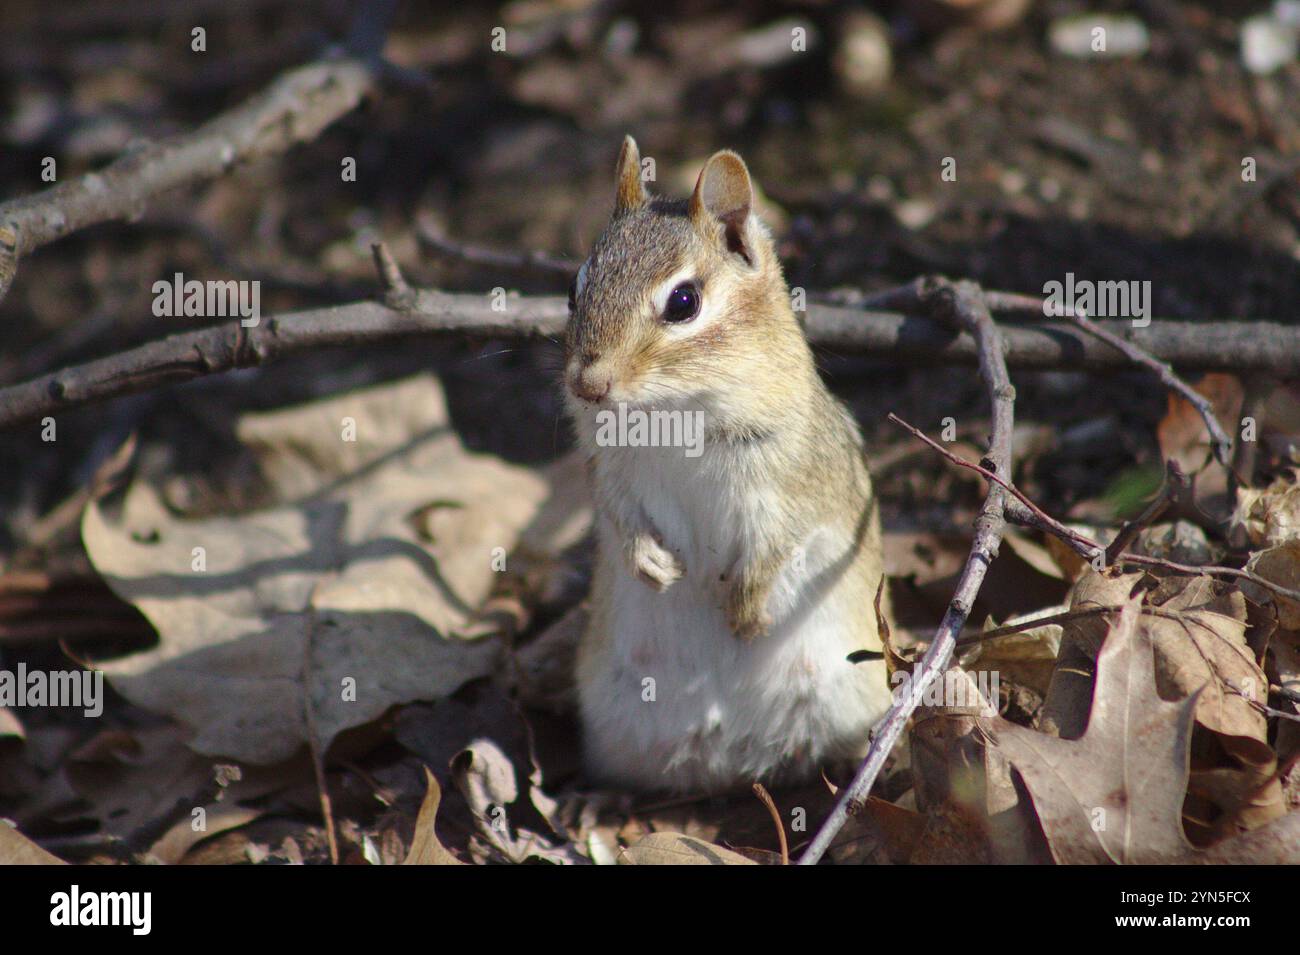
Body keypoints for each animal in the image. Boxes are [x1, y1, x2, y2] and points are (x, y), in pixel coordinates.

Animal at [564, 136, 892, 793]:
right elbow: (620, 519)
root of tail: (737, 755)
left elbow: (777, 542)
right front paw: (650, 565)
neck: (675, 415)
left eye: (684, 302)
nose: (586, 386)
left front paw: (744, 610)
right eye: (573, 289)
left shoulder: (789, 481)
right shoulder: (611, 473)